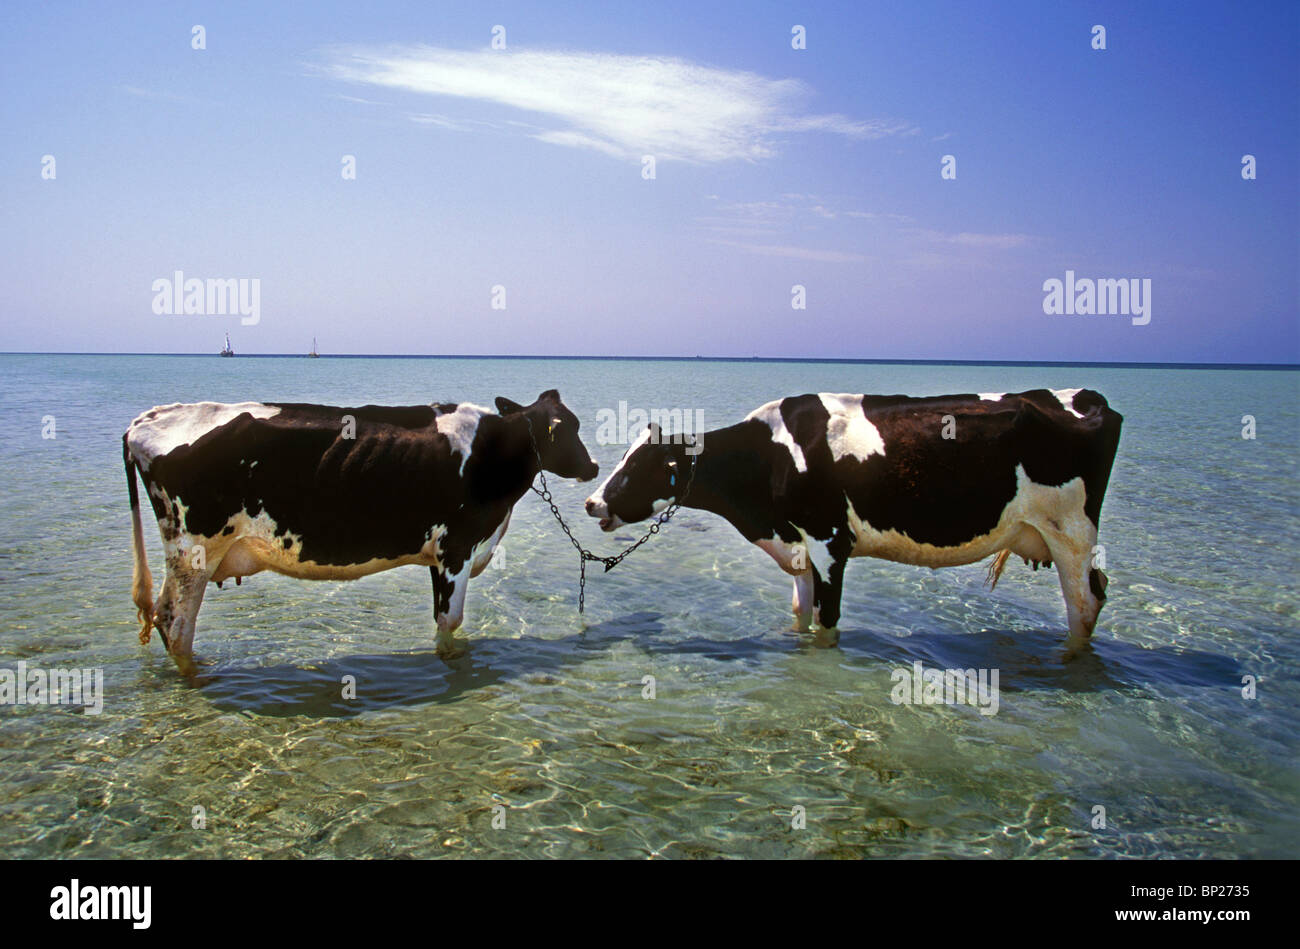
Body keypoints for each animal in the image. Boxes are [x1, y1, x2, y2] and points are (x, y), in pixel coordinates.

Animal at [123, 389, 598, 675]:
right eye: (568, 429)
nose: (593, 467)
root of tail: (148, 418)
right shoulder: (457, 549)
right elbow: (450, 622)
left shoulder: (439, 553)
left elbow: (441, 618)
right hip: (193, 553)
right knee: (174, 621)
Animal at [585, 389, 1122, 645]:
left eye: (636, 468)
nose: (592, 503)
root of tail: (1088, 398)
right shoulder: (798, 545)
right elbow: (801, 613)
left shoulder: (829, 541)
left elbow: (827, 620)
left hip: (1072, 533)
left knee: (1086, 602)